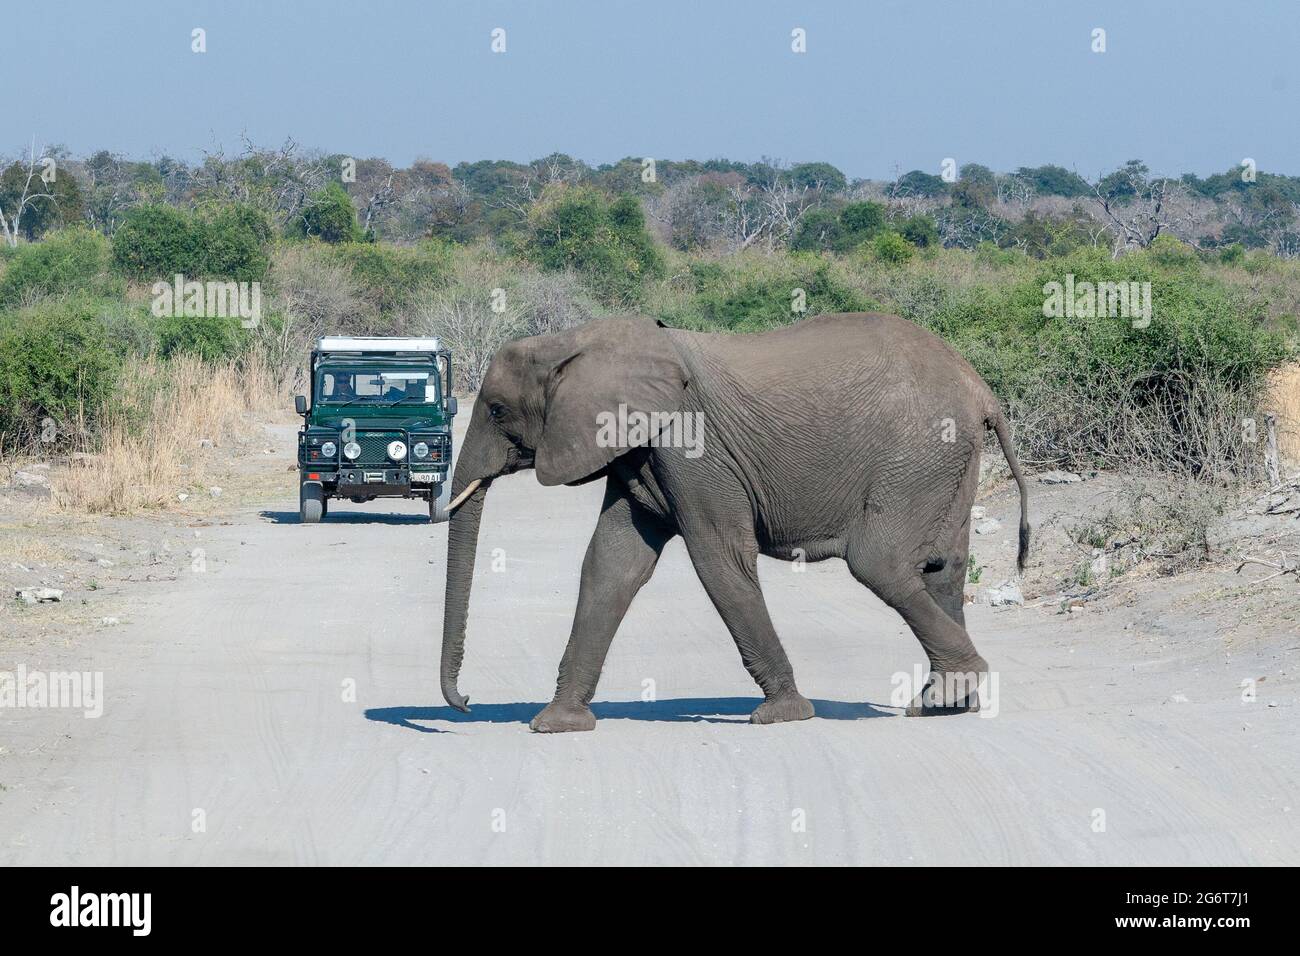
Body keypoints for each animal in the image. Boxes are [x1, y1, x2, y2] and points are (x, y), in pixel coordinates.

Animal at [440, 312, 1029, 732]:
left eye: (495, 409)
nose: (465, 703)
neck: (573, 340)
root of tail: (979, 388)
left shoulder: (691, 446)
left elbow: (718, 558)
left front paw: (783, 715)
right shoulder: (637, 448)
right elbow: (613, 564)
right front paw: (556, 724)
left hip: (918, 452)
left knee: (879, 563)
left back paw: (952, 690)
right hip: (948, 460)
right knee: (943, 570)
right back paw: (948, 705)